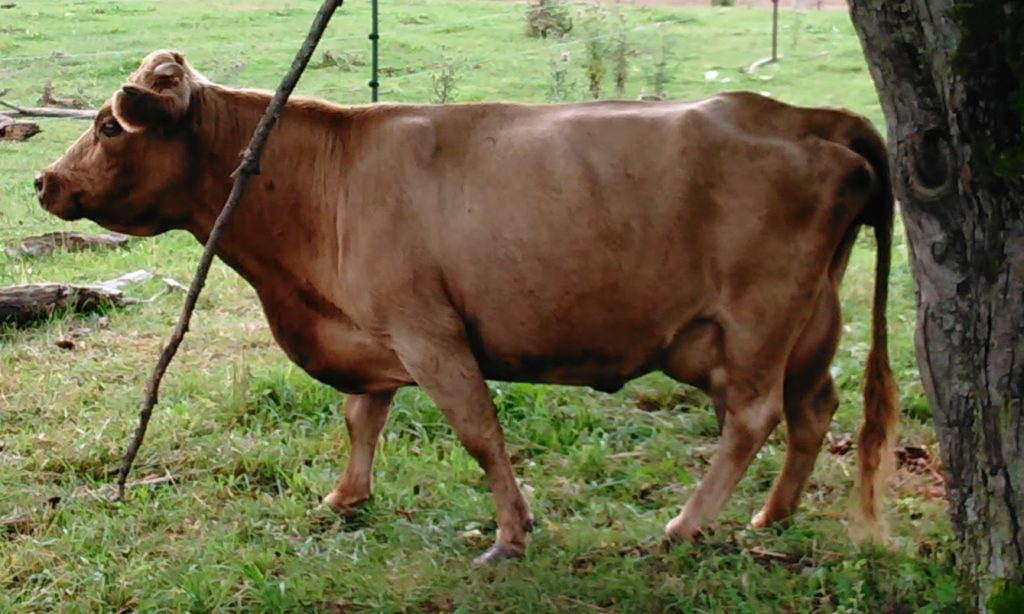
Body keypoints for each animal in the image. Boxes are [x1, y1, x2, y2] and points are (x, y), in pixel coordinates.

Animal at [36, 50, 898, 564]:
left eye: (108, 125)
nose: (43, 181)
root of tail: (805, 117)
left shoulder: (431, 334)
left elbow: (480, 433)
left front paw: (512, 533)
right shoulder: (372, 335)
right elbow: (362, 417)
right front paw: (345, 497)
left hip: (756, 321)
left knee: (753, 417)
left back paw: (686, 524)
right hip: (809, 322)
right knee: (813, 409)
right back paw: (770, 518)